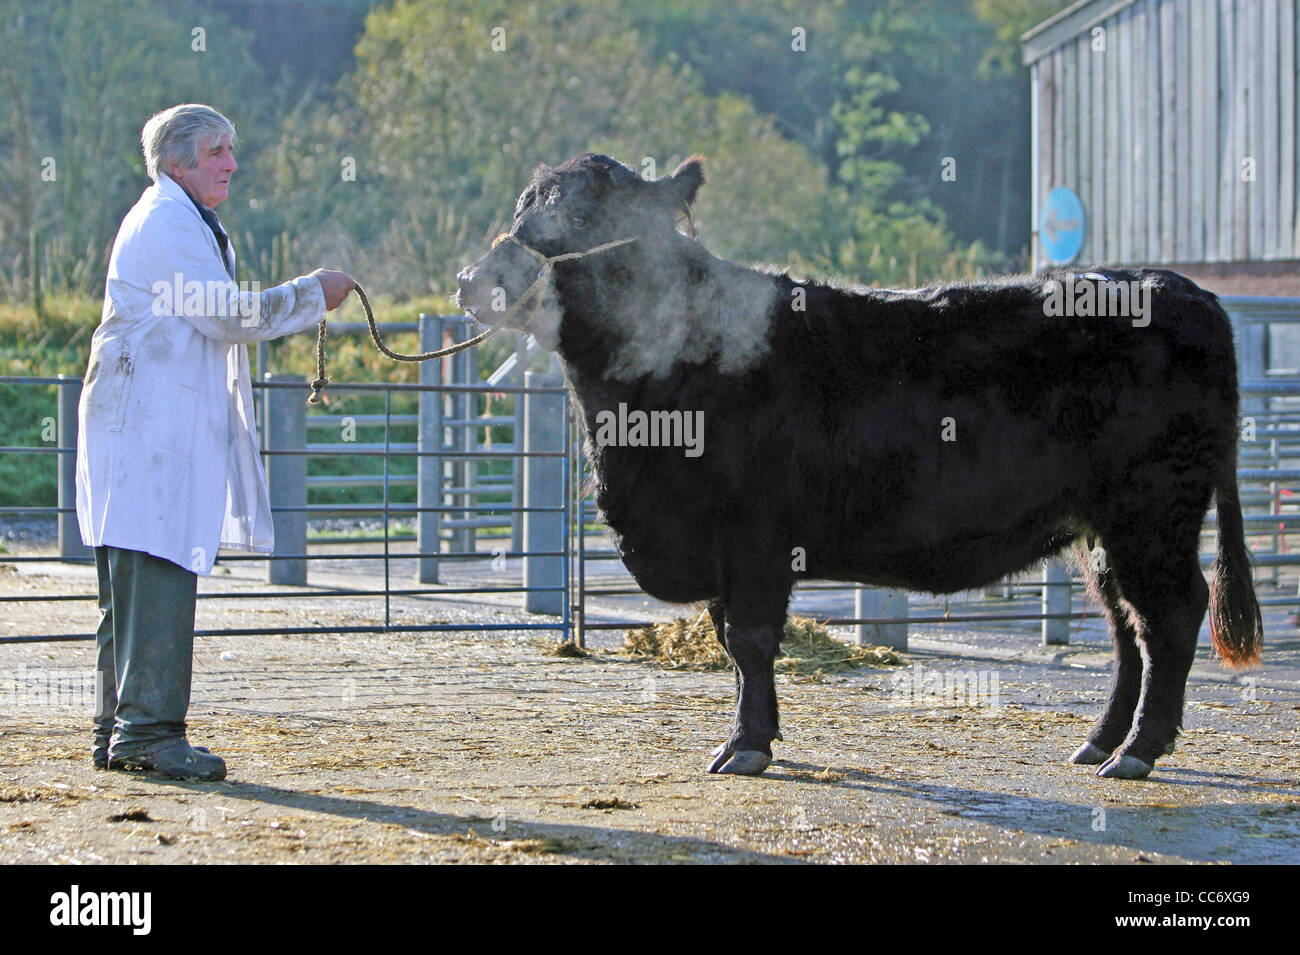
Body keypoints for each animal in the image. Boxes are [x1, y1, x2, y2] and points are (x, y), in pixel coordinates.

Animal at [455, 152, 1263, 780]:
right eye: (526, 205)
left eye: (581, 217)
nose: (471, 279)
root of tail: (1185, 289)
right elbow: (731, 643)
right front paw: (752, 737)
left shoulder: (754, 534)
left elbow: (749, 640)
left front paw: (747, 747)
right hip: (1101, 526)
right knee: (1128, 627)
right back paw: (1099, 741)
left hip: (1151, 509)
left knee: (1171, 615)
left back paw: (1138, 751)